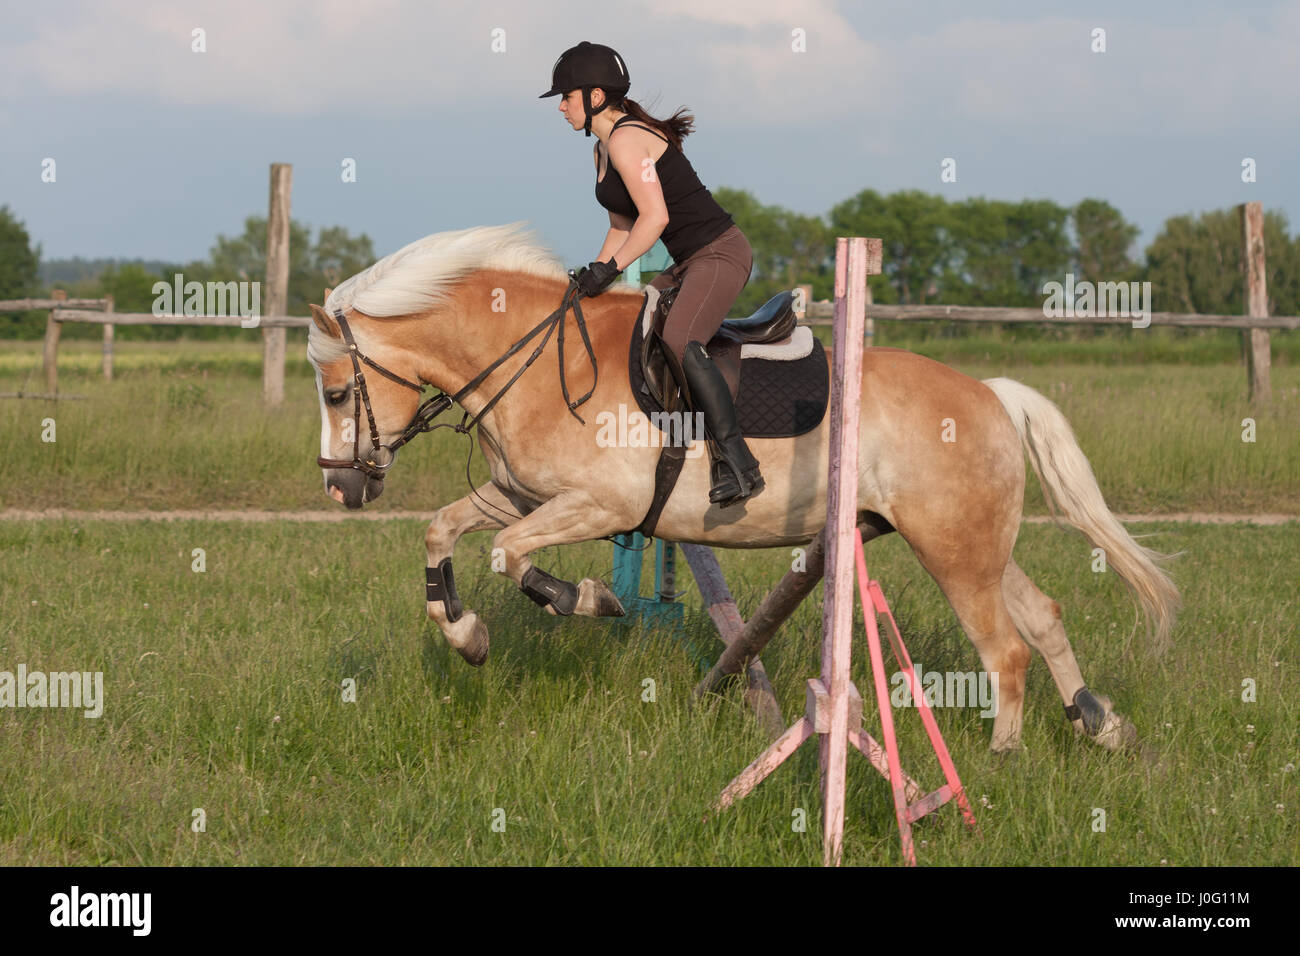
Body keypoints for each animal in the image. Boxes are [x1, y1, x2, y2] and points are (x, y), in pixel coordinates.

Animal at [306, 222, 1180, 753]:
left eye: (338, 394)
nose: (344, 489)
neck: (538, 360)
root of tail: (991, 394)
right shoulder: (520, 495)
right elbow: (444, 532)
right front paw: (468, 638)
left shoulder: (599, 507)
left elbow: (513, 558)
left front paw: (591, 600)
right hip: (972, 544)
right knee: (1043, 618)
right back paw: (1099, 725)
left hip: (953, 550)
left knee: (1004, 648)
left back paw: (999, 763)